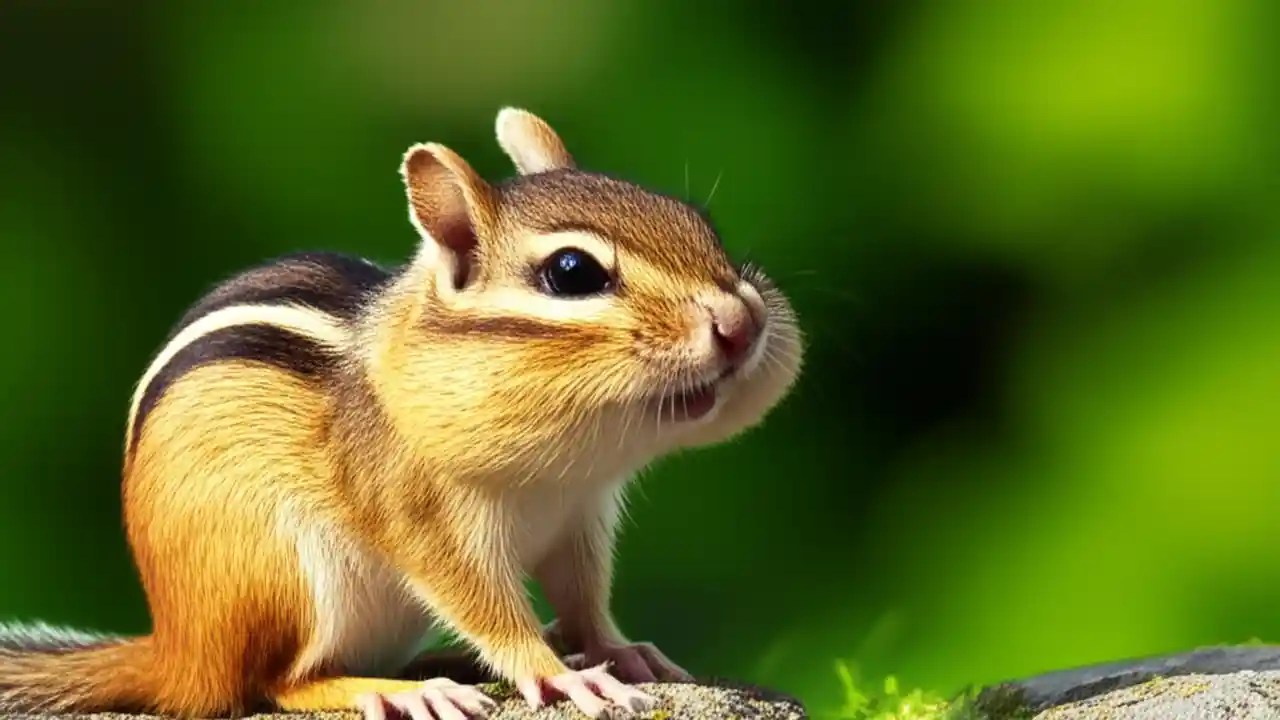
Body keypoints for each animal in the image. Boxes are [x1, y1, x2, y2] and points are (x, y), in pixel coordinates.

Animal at [0, 108, 803, 720]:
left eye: (696, 220)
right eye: (572, 272)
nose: (741, 323)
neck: (567, 461)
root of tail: (176, 649)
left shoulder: (580, 519)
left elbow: (585, 601)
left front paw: (618, 650)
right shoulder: (425, 513)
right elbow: (485, 607)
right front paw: (560, 673)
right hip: (291, 576)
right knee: (273, 683)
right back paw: (400, 692)